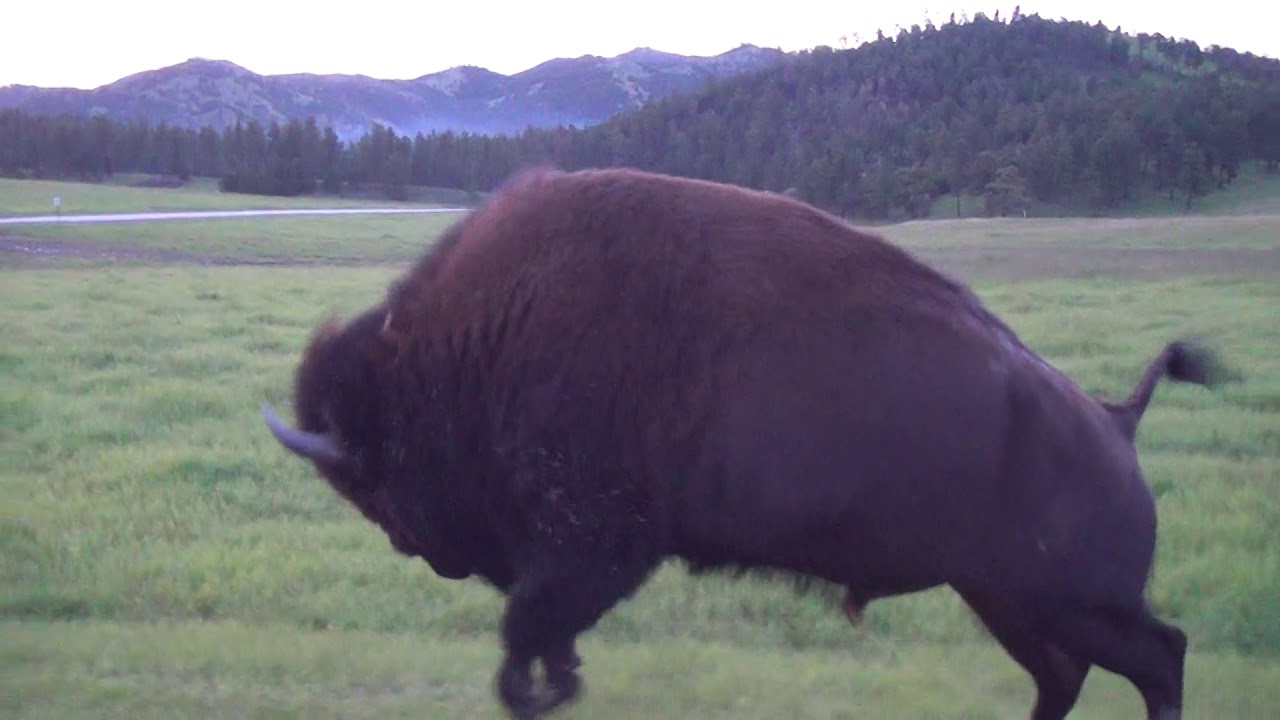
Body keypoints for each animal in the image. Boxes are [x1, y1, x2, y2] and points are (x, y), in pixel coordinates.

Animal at [263, 166, 1225, 719]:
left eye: (384, 480)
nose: (429, 555)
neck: (486, 335)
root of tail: (1115, 417)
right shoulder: (579, 559)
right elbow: (546, 626)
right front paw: (557, 683)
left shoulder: (594, 544)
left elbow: (529, 625)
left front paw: (535, 693)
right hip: (1005, 597)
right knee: (1067, 676)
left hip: (1067, 599)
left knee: (1159, 656)